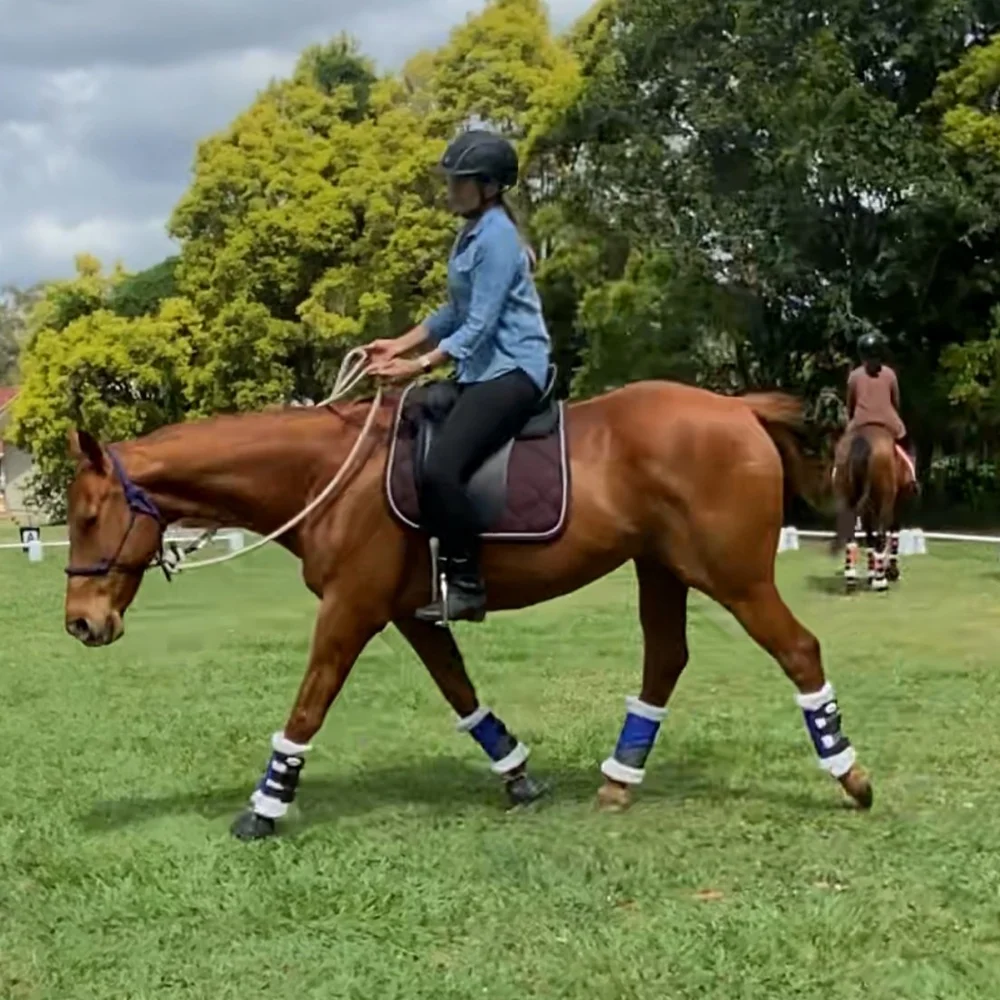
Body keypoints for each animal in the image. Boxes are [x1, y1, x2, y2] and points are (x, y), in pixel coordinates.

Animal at [62, 377, 873, 840]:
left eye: (87, 517)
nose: (81, 623)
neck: (327, 475)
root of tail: (736, 408)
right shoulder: (406, 612)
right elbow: (460, 693)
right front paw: (518, 776)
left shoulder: (351, 609)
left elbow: (308, 705)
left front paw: (265, 809)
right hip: (662, 568)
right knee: (666, 659)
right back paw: (619, 779)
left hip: (733, 575)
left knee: (798, 650)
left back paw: (851, 777)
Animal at [832, 424, 917, 593]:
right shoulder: (896, 505)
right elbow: (893, 533)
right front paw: (890, 572)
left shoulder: (867, 510)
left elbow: (869, 537)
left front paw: (872, 574)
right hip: (884, 502)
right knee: (881, 536)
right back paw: (881, 581)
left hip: (848, 499)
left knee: (852, 536)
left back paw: (851, 578)